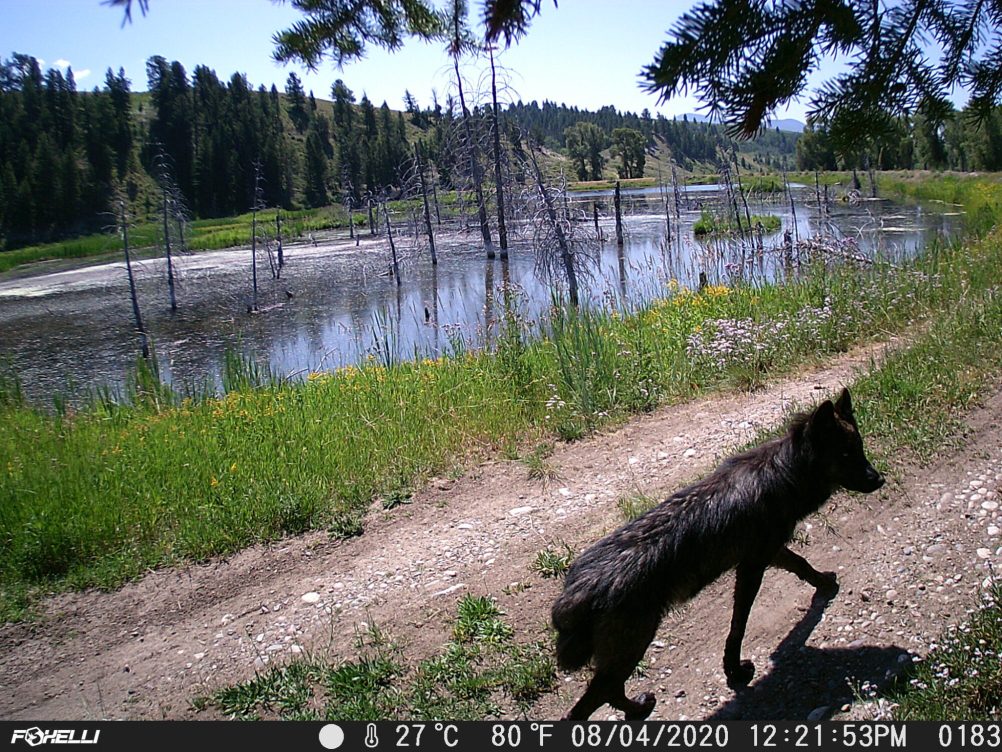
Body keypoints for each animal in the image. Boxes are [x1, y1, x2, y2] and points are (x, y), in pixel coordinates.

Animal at [552, 388, 884, 721]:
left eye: (860, 448)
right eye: (846, 455)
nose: (879, 479)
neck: (786, 473)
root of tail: (574, 592)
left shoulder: (768, 552)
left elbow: (802, 565)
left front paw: (824, 583)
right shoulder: (751, 567)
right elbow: (739, 625)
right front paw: (735, 671)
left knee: (607, 692)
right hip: (634, 645)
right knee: (592, 700)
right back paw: (638, 708)